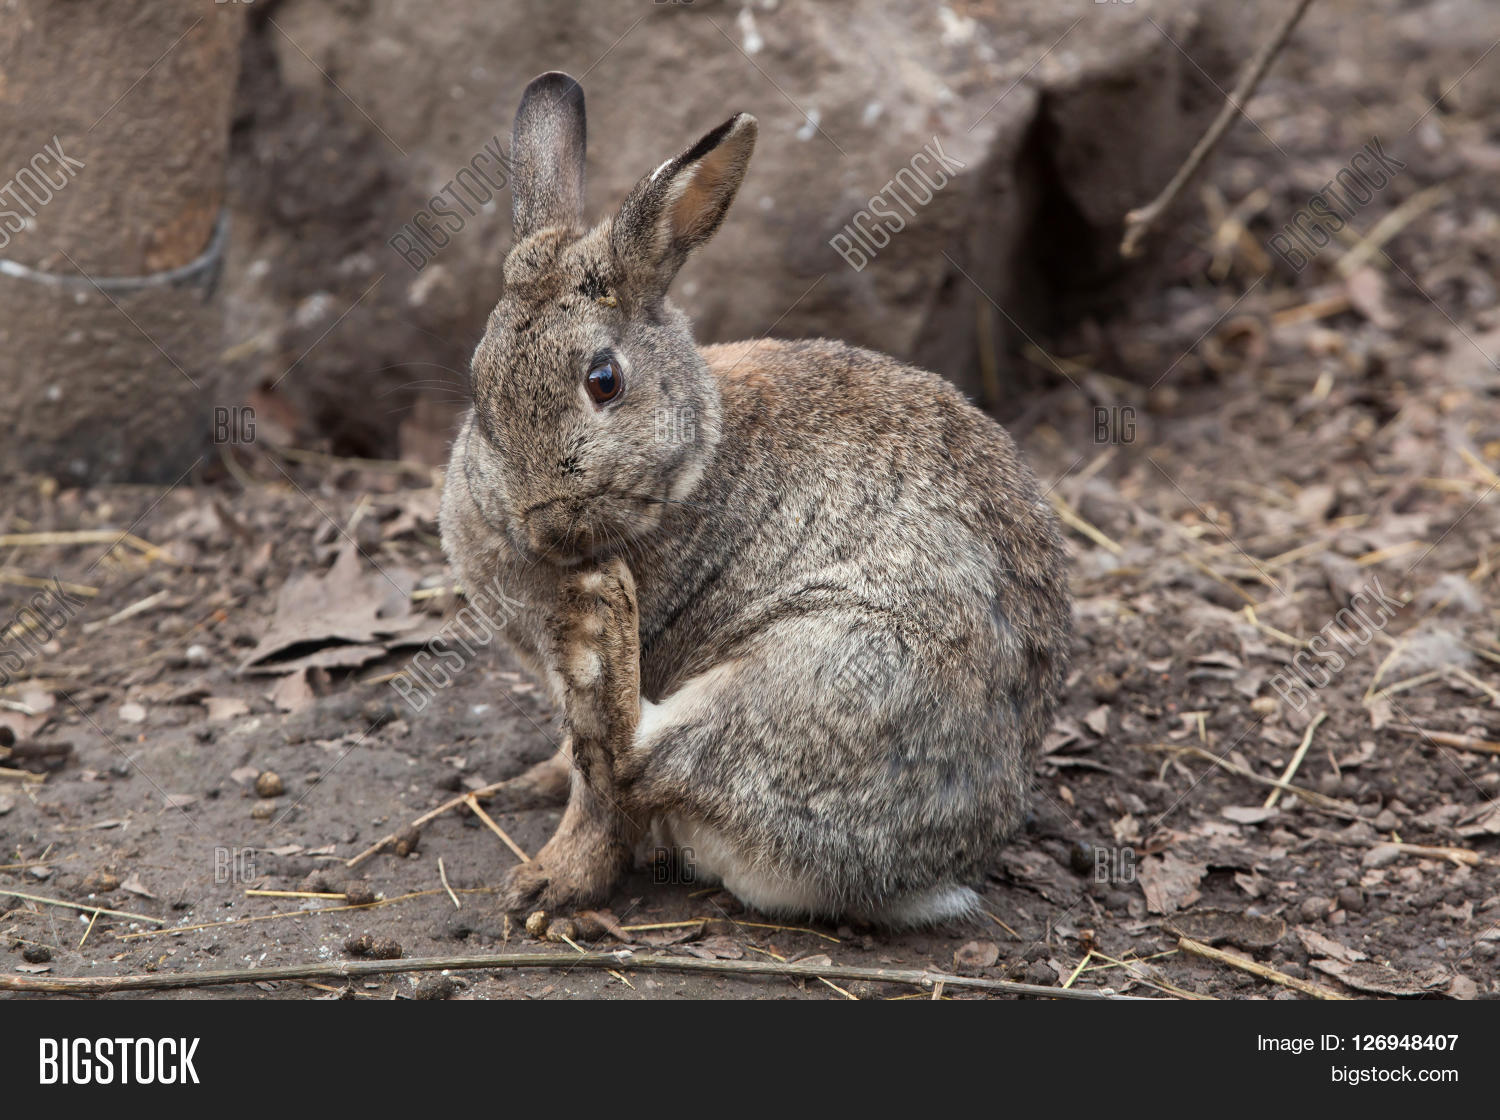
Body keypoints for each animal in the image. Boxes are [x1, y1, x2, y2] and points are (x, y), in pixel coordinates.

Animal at [439, 71, 1071, 926]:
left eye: (604, 381)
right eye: (480, 392)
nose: (544, 523)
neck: (691, 459)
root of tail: (917, 880)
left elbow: (602, 800)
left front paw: (551, 880)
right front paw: (535, 780)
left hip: (824, 672)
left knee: (644, 756)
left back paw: (606, 620)